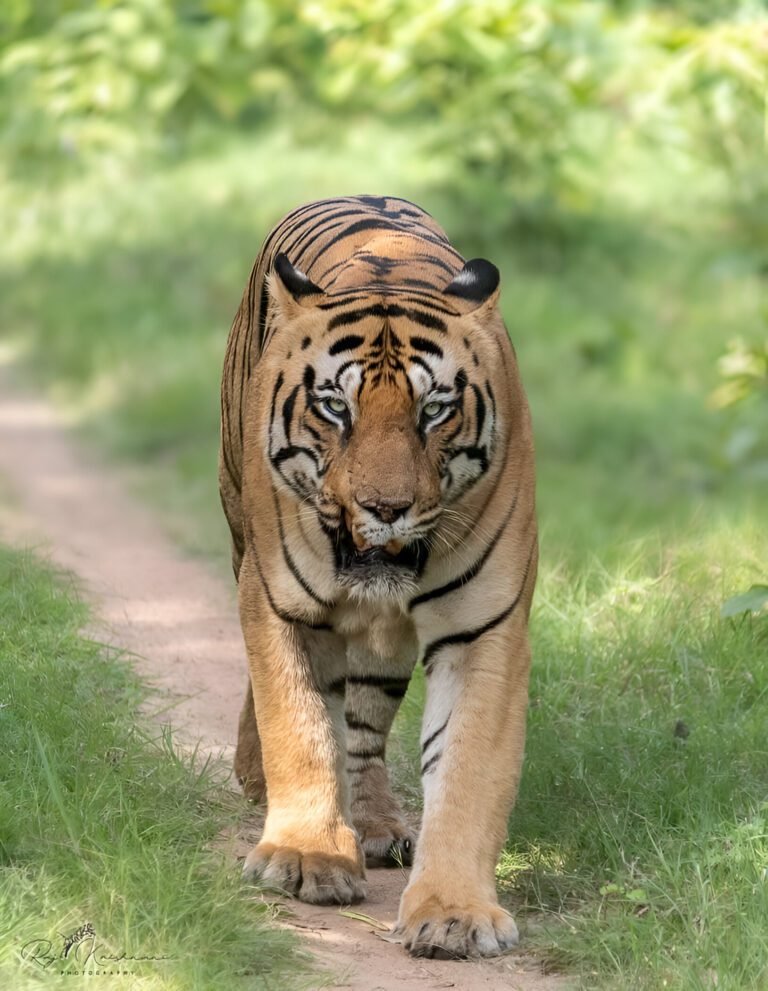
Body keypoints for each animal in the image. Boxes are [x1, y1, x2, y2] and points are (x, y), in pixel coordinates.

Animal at [219, 194, 537, 960]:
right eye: (337, 407)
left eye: (434, 410)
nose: (386, 508)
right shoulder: (279, 604)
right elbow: (299, 725)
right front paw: (305, 856)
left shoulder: (484, 628)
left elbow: (467, 767)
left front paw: (454, 911)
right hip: (238, 528)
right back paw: (259, 780)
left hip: (382, 646)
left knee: (362, 728)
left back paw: (374, 825)